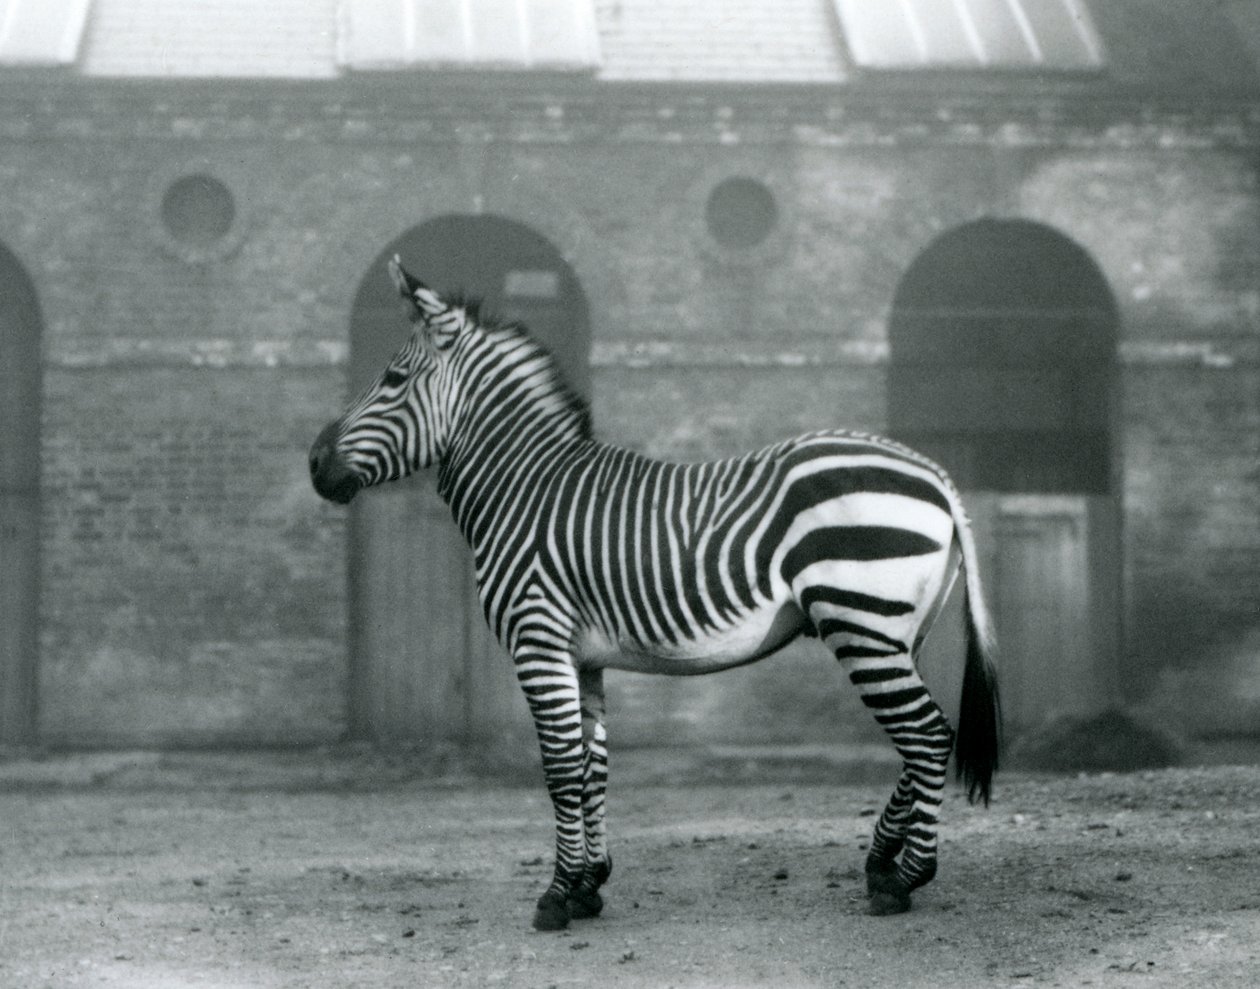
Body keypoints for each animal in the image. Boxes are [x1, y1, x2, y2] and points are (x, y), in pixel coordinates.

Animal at [309, 256, 1001, 931]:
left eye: (394, 378)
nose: (314, 464)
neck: (525, 487)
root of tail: (935, 475)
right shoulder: (582, 657)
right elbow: (592, 769)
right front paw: (589, 885)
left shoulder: (538, 643)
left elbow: (559, 769)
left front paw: (556, 896)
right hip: (896, 632)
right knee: (918, 739)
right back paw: (882, 862)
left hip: (862, 624)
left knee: (928, 734)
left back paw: (906, 879)